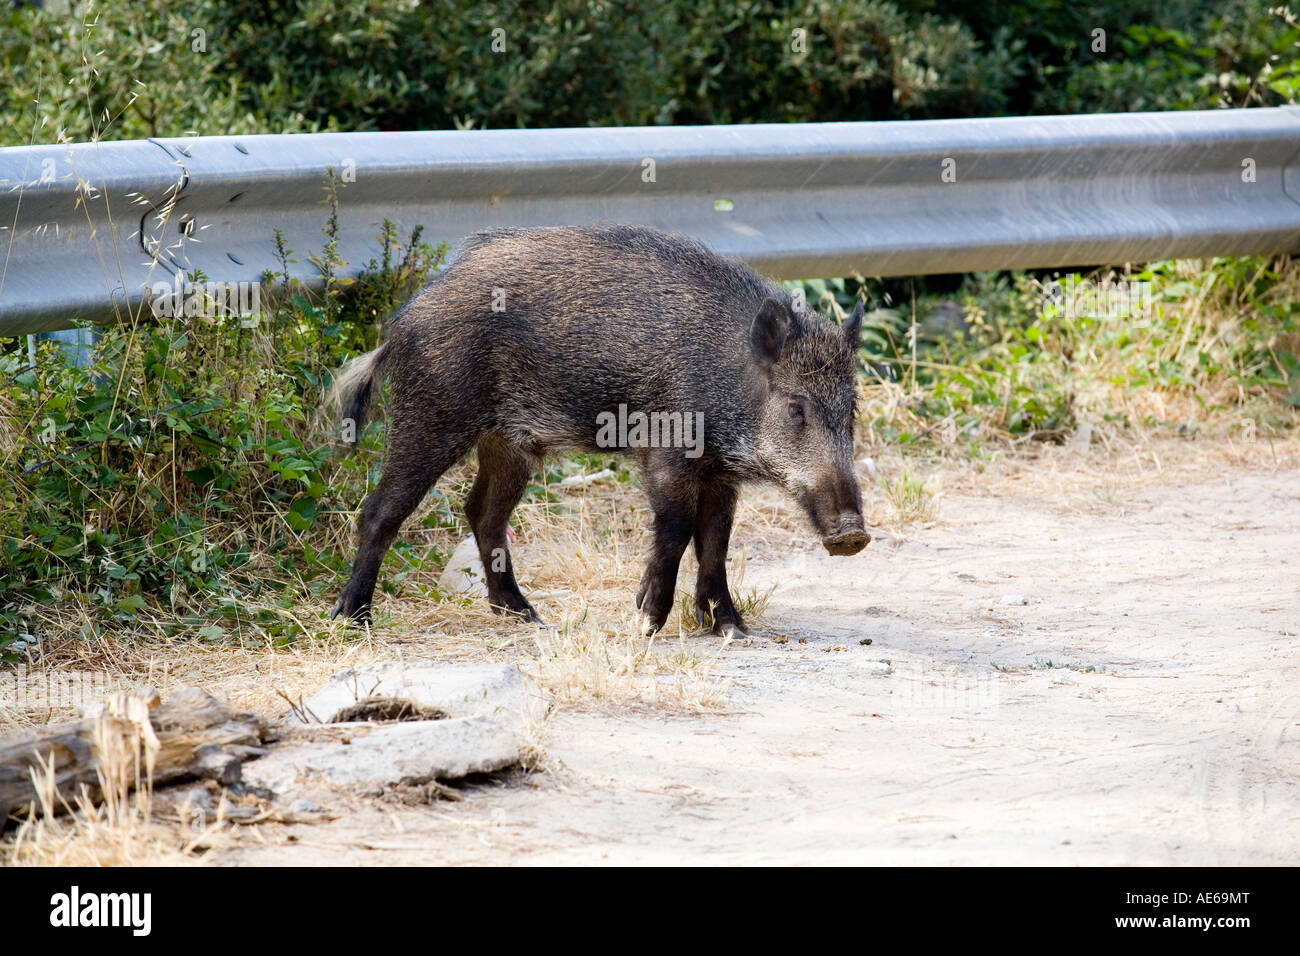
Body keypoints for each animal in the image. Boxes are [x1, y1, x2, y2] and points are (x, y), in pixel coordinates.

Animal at [329, 224, 869, 636]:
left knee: (482, 513)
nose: (854, 534)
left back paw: (527, 617)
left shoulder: (721, 474)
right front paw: (647, 622)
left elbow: (716, 540)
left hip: (508, 444)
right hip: (432, 415)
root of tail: (399, 328)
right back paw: (353, 620)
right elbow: (676, 529)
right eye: (796, 408)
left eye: (851, 409)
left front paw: (733, 630)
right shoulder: (665, 450)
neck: (727, 375)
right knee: (381, 509)